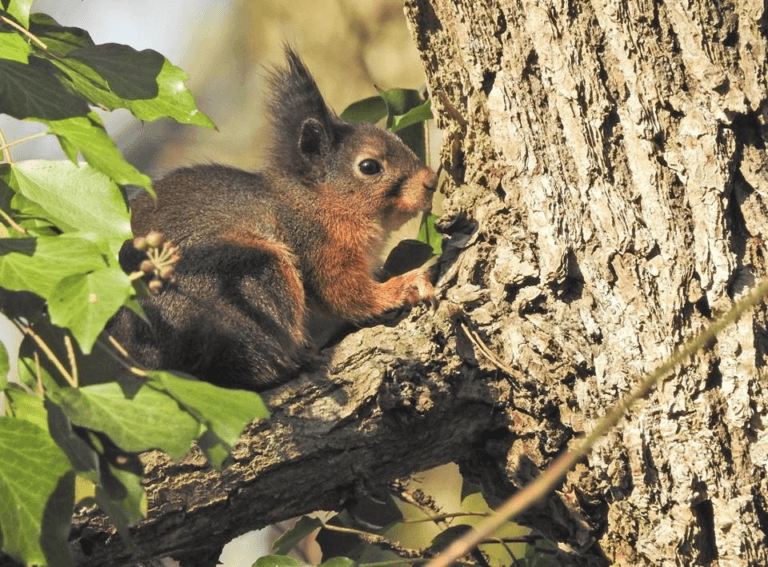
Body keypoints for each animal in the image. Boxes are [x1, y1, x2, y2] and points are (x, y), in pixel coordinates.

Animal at [109, 48, 437, 390]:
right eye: (369, 166)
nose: (431, 181)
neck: (313, 202)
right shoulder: (318, 247)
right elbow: (346, 294)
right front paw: (404, 286)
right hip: (248, 277)